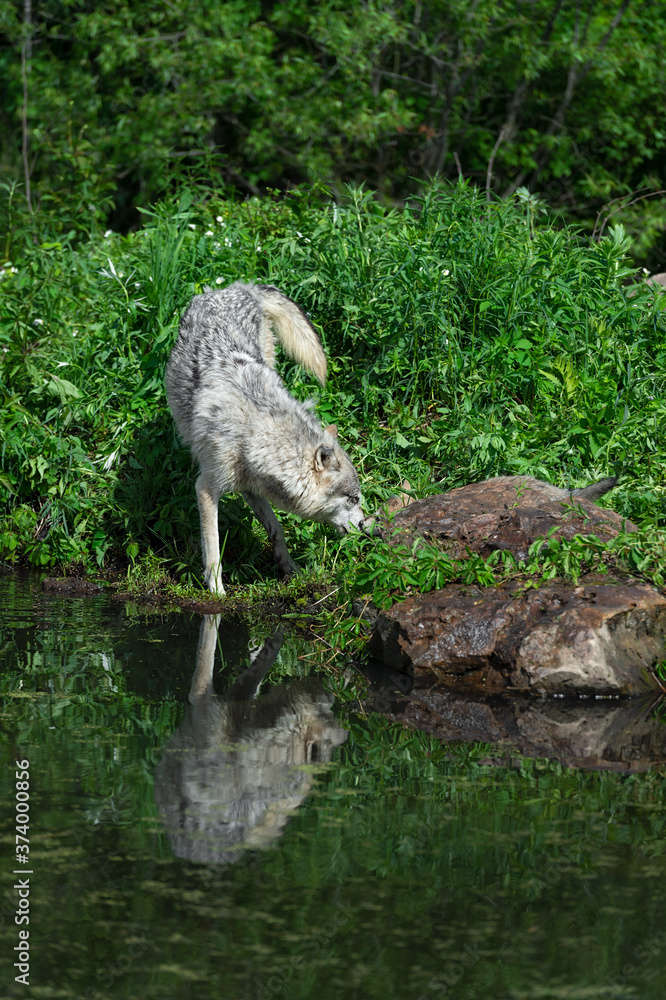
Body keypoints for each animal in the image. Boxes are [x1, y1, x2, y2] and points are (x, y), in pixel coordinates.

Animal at [165, 281, 365, 594]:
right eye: (353, 499)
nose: (370, 528)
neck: (253, 433)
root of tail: (235, 287)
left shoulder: (251, 487)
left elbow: (276, 529)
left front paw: (289, 569)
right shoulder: (207, 488)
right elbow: (213, 548)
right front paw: (217, 592)